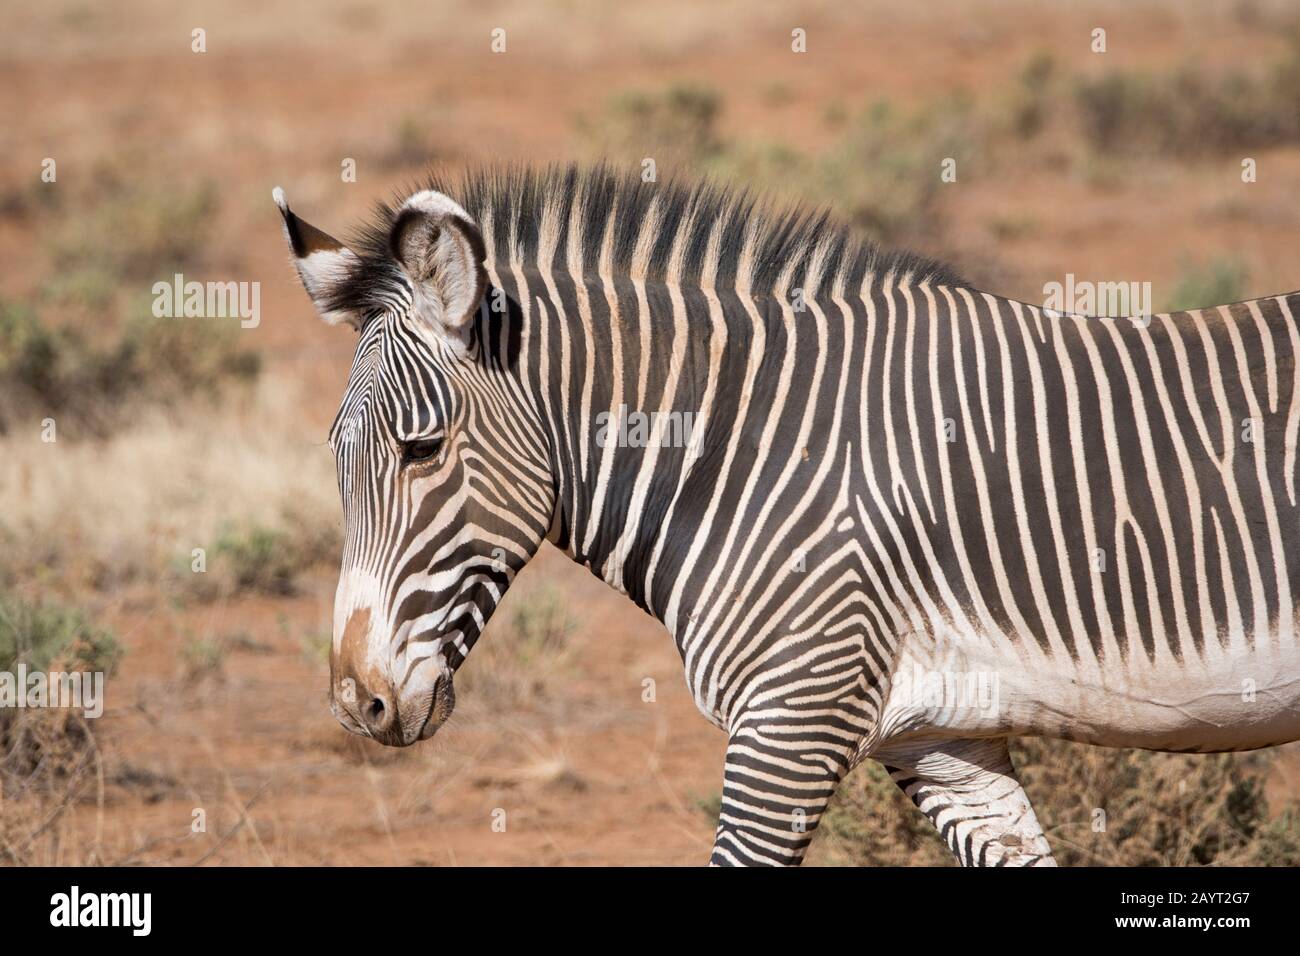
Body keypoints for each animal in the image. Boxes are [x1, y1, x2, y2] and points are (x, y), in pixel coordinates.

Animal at [273, 166, 1300, 866]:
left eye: (422, 450)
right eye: (334, 457)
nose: (357, 704)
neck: (752, 455)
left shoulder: (792, 719)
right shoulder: (939, 736)